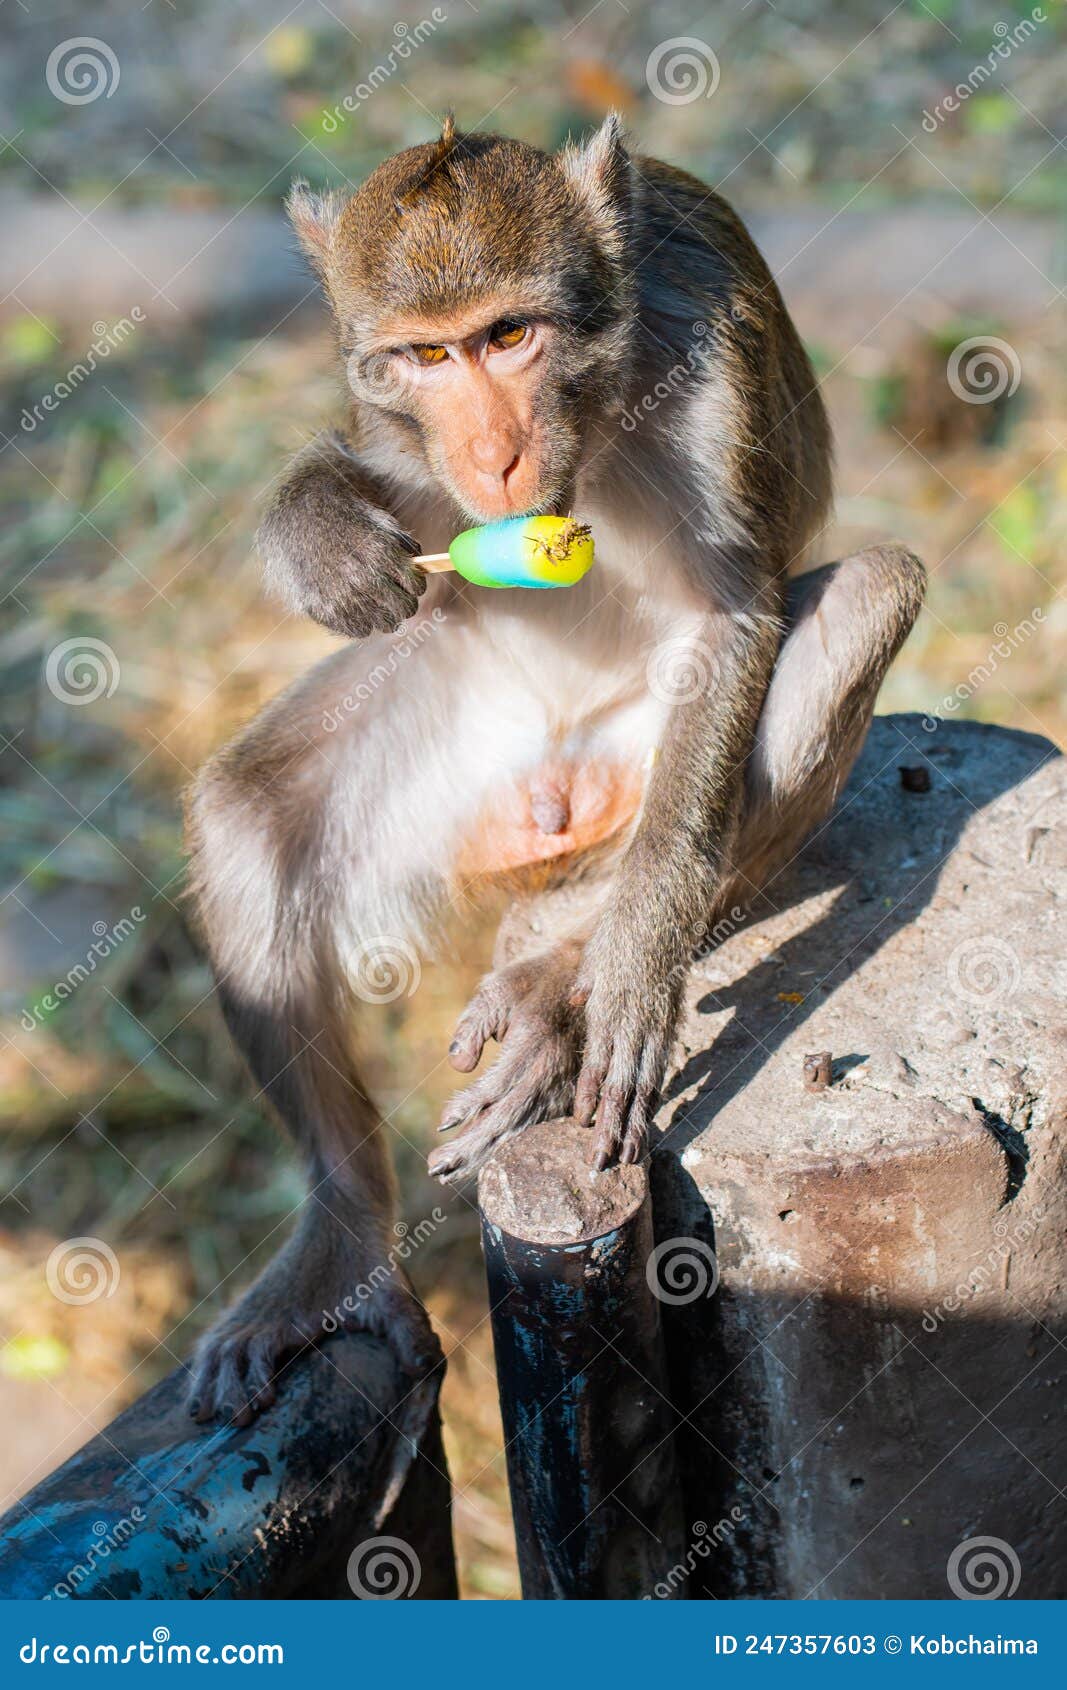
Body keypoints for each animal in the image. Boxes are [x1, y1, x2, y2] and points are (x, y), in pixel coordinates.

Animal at [184, 114, 924, 1425]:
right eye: (426, 355)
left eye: (508, 336)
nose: (492, 450)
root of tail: (555, 781)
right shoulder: (410, 455)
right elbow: (381, 497)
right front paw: (317, 530)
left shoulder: (713, 354)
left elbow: (733, 614)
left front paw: (625, 970)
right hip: (456, 711)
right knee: (244, 812)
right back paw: (343, 1236)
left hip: (626, 777)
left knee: (863, 600)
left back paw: (555, 984)